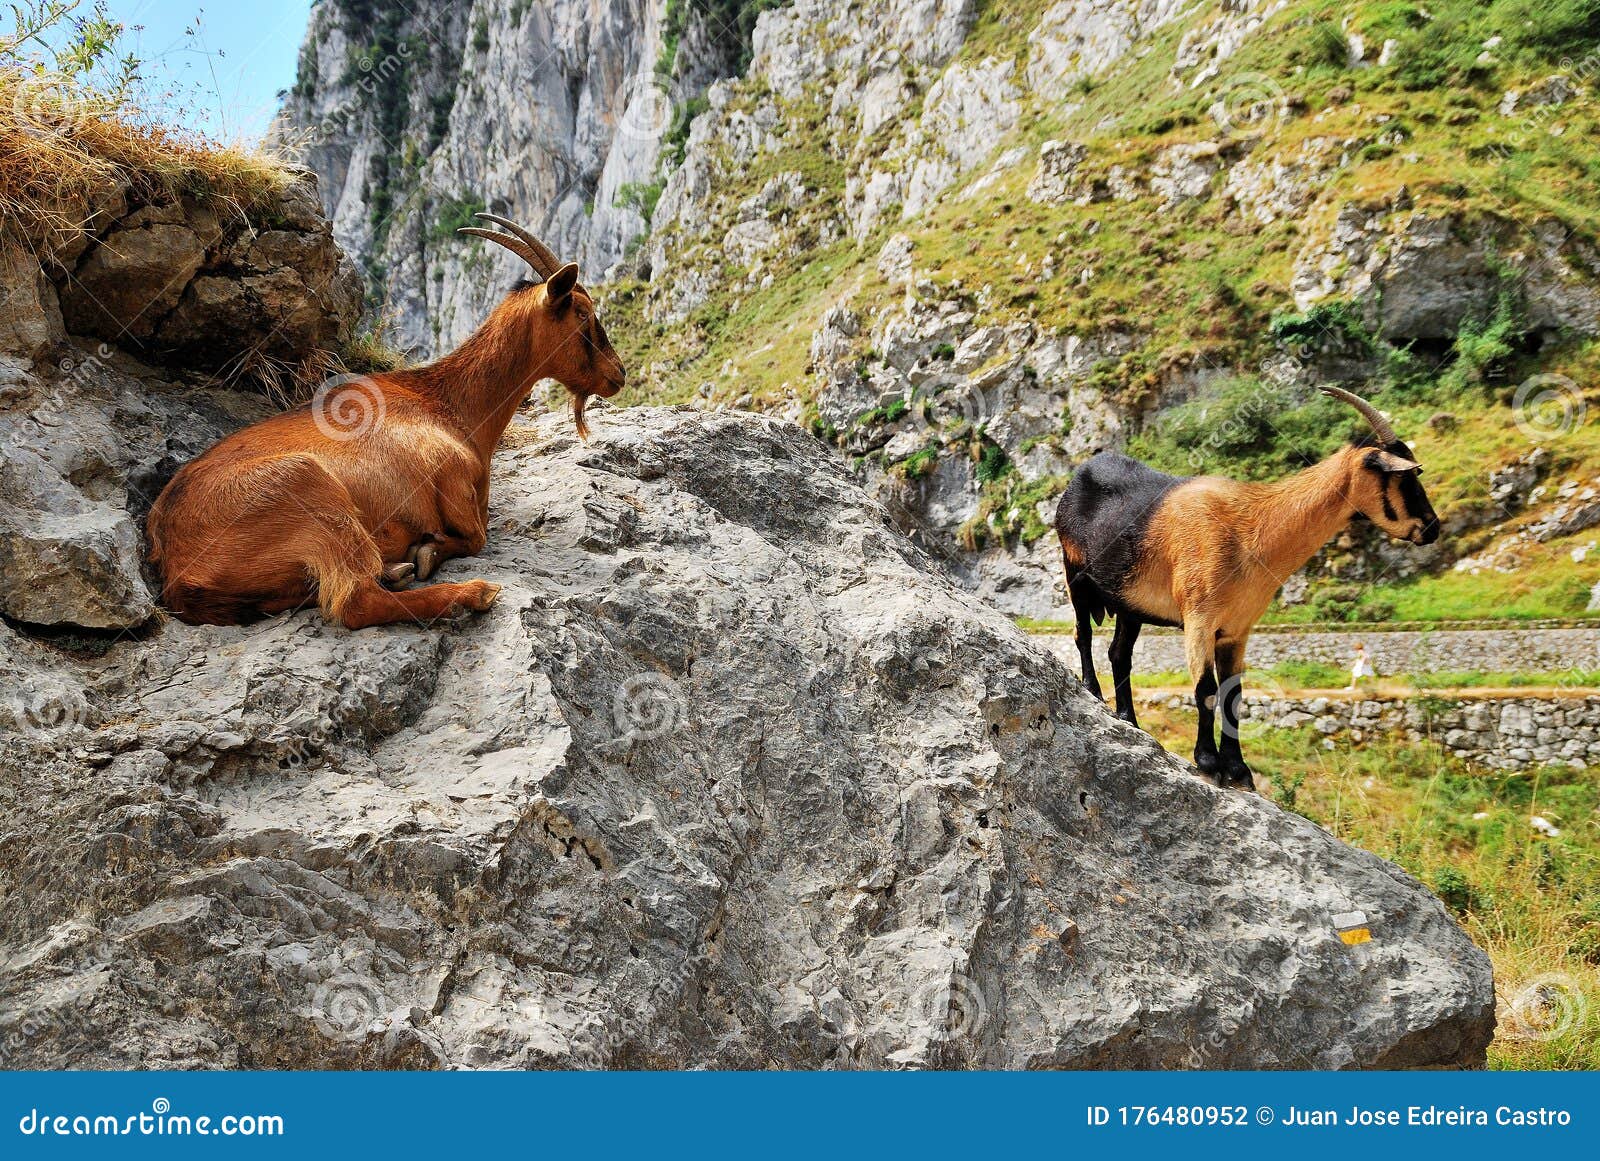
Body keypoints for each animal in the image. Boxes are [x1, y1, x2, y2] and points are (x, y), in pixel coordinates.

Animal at [147, 213, 624, 630]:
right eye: (583, 314)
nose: (618, 374)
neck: (449, 405)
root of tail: (174, 567)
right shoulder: (448, 477)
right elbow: (476, 537)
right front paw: (428, 551)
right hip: (310, 491)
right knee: (357, 602)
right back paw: (468, 593)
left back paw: (396, 570)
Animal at [1055, 387, 1438, 789]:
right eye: (1405, 478)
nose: (1433, 527)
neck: (1251, 529)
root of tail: (1079, 477)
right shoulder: (1199, 620)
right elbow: (1206, 691)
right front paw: (1209, 761)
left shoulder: (1236, 630)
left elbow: (1233, 695)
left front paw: (1238, 769)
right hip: (1074, 573)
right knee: (1082, 633)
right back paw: (1093, 691)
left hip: (1129, 601)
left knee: (1119, 653)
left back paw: (1129, 718)